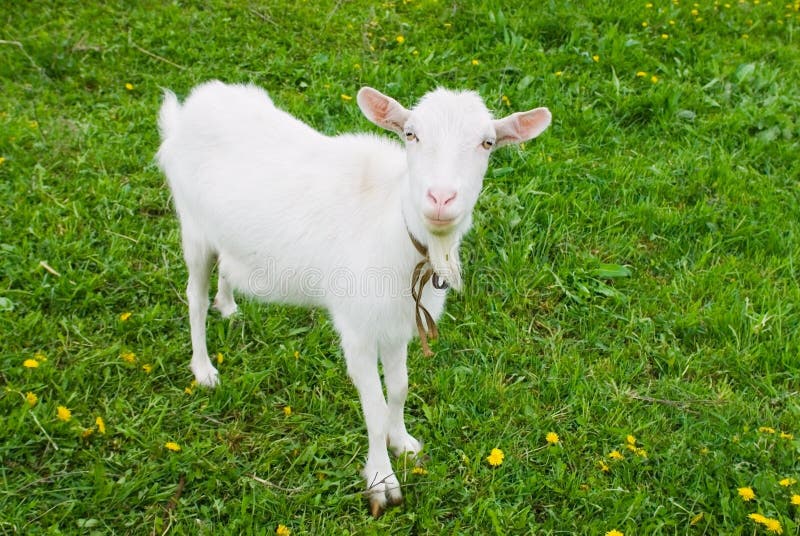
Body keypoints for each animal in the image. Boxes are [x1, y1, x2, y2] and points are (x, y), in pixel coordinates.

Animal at [156, 81, 551, 516]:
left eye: (487, 142)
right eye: (411, 134)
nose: (441, 198)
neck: (394, 226)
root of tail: (186, 111)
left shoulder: (398, 323)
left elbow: (400, 387)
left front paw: (403, 442)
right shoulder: (357, 328)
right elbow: (374, 406)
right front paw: (382, 480)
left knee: (226, 264)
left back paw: (227, 306)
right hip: (192, 226)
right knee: (194, 297)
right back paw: (204, 369)